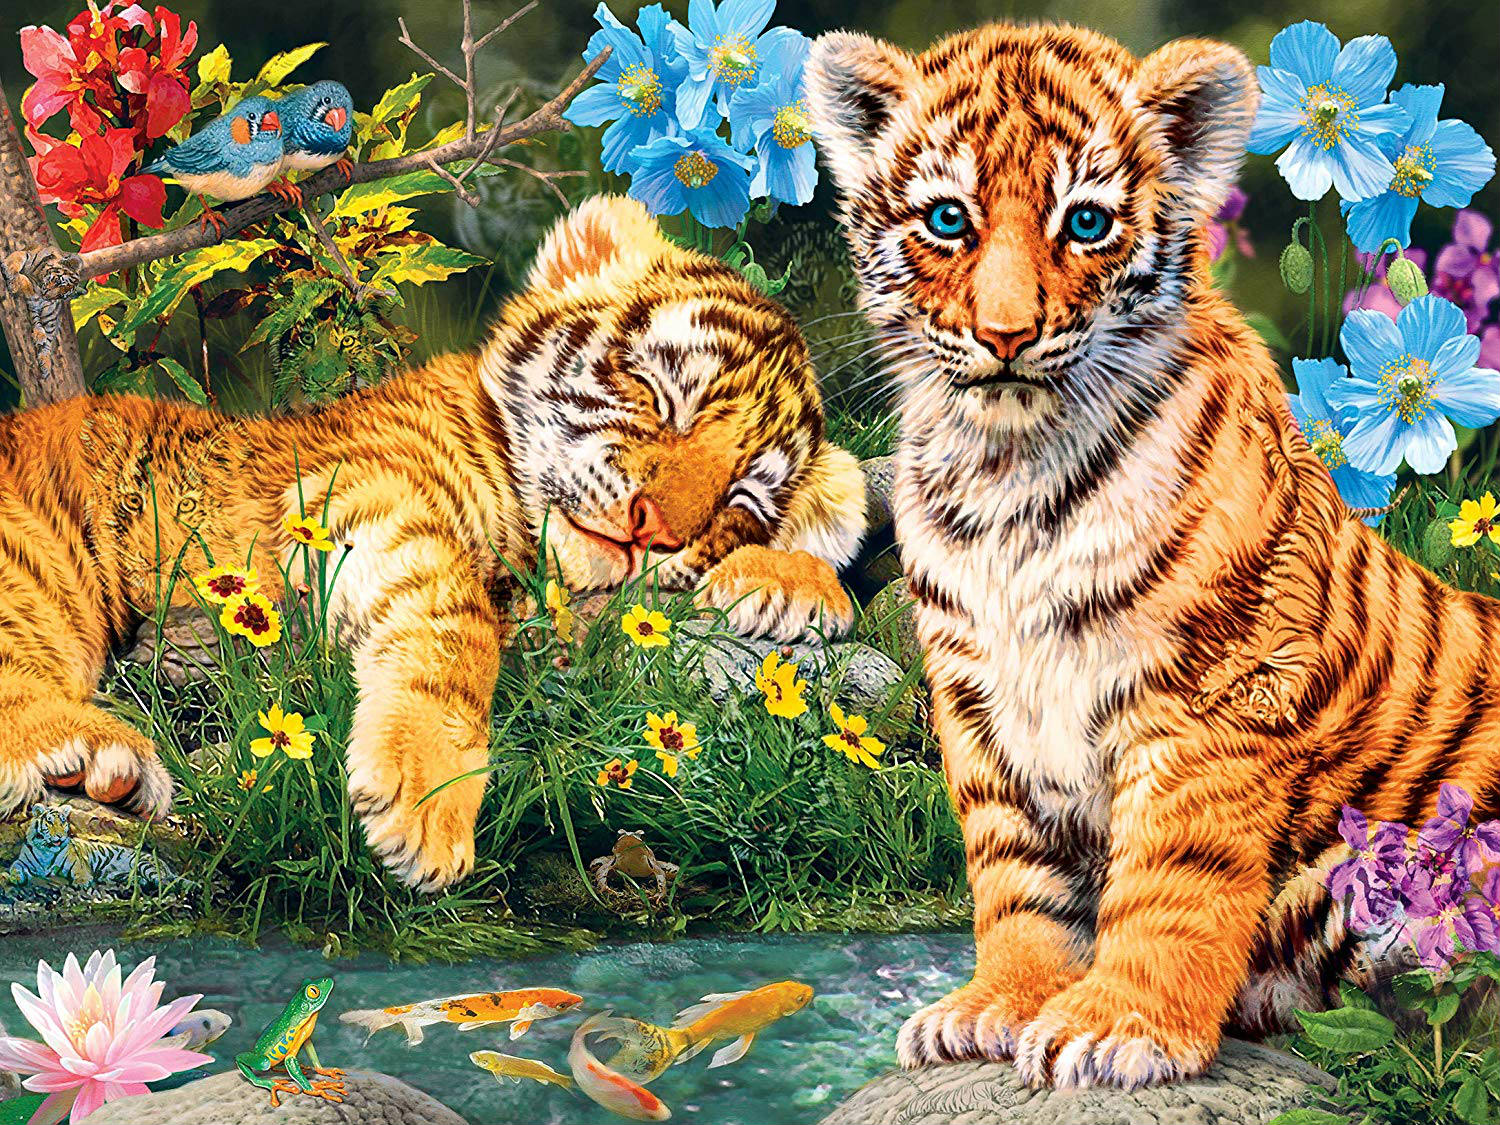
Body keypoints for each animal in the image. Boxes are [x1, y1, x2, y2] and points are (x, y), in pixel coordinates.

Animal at [0, 195, 866, 892]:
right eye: (660, 395)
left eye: (739, 498)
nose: (653, 527)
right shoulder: (372, 491)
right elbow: (454, 629)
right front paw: (425, 806)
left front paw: (798, 581)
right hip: (33, 559)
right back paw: (95, 755)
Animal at [805, 21, 1500, 1090]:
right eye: (948, 219)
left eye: (1086, 222)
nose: (1005, 334)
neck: (1010, 469)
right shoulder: (978, 691)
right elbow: (1014, 874)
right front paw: (993, 1005)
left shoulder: (1215, 693)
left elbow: (1174, 876)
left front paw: (1118, 1026)